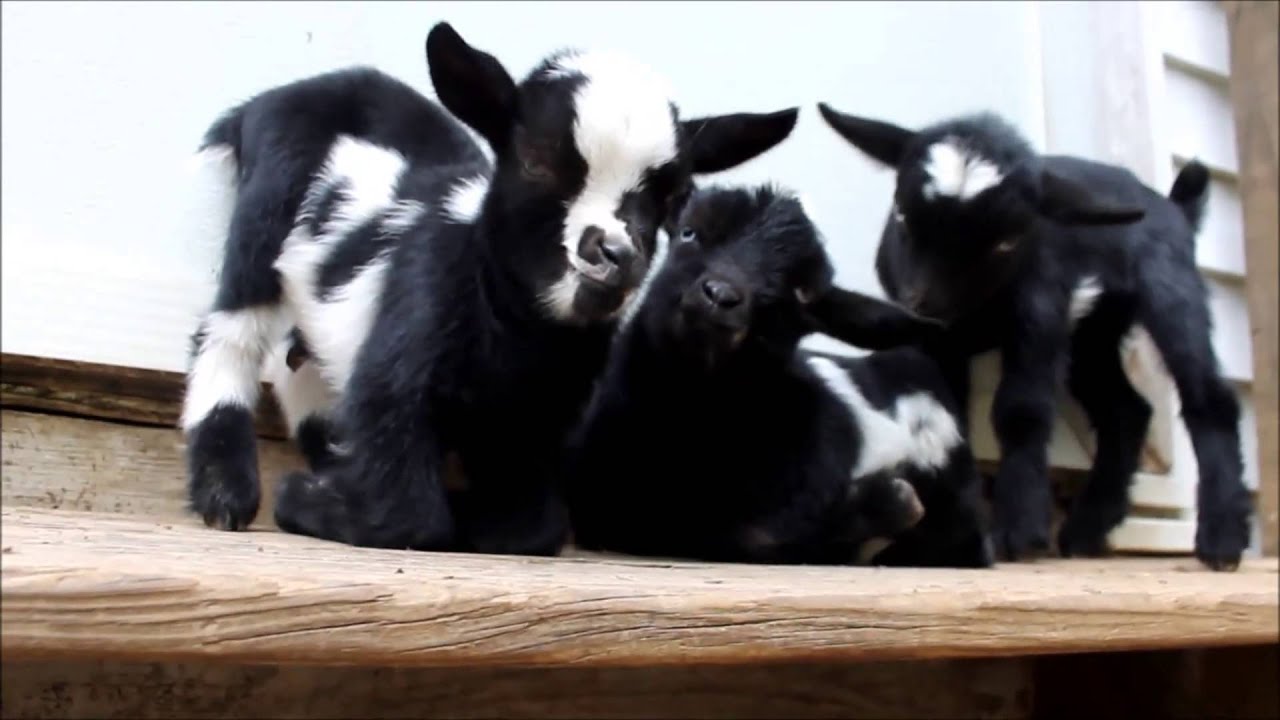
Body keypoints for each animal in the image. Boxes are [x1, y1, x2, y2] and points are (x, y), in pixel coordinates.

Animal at [180, 21, 800, 556]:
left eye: (673, 197)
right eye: (535, 161)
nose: (616, 255)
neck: (514, 333)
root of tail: (269, 101)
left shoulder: (536, 427)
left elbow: (534, 527)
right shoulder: (401, 370)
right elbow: (411, 514)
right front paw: (304, 502)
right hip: (266, 208)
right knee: (230, 332)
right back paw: (226, 494)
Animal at [816, 104, 1252, 570]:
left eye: (1007, 240)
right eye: (900, 212)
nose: (924, 305)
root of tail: (1172, 205)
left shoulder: (1039, 311)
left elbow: (1021, 408)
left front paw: (1019, 530)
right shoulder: (941, 339)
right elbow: (950, 405)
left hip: (1170, 286)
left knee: (1208, 396)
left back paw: (1222, 538)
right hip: (1094, 330)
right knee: (1125, 409)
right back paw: (1086, 530)